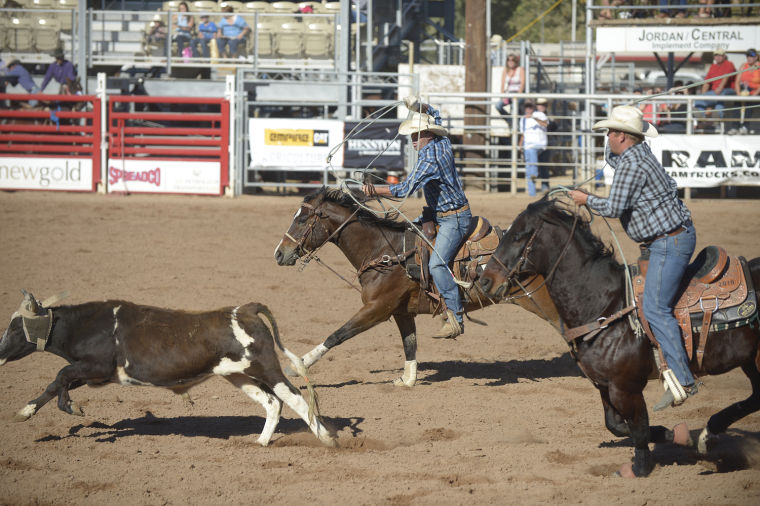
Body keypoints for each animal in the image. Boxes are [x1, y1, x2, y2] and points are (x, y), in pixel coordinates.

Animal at [0, 291, 336, 447]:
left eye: (15, 327)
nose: (0, 352)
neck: (88, 325)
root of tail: (245, 309)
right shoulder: (96, 372)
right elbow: (59, 382)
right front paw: (50, 408)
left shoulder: (96, 365)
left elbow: (60, 377)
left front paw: (53, 409)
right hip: (237, 374)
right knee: (272, 402)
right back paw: (262, 441)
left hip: (266, 367)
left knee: (295, 398)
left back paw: (328, 439)